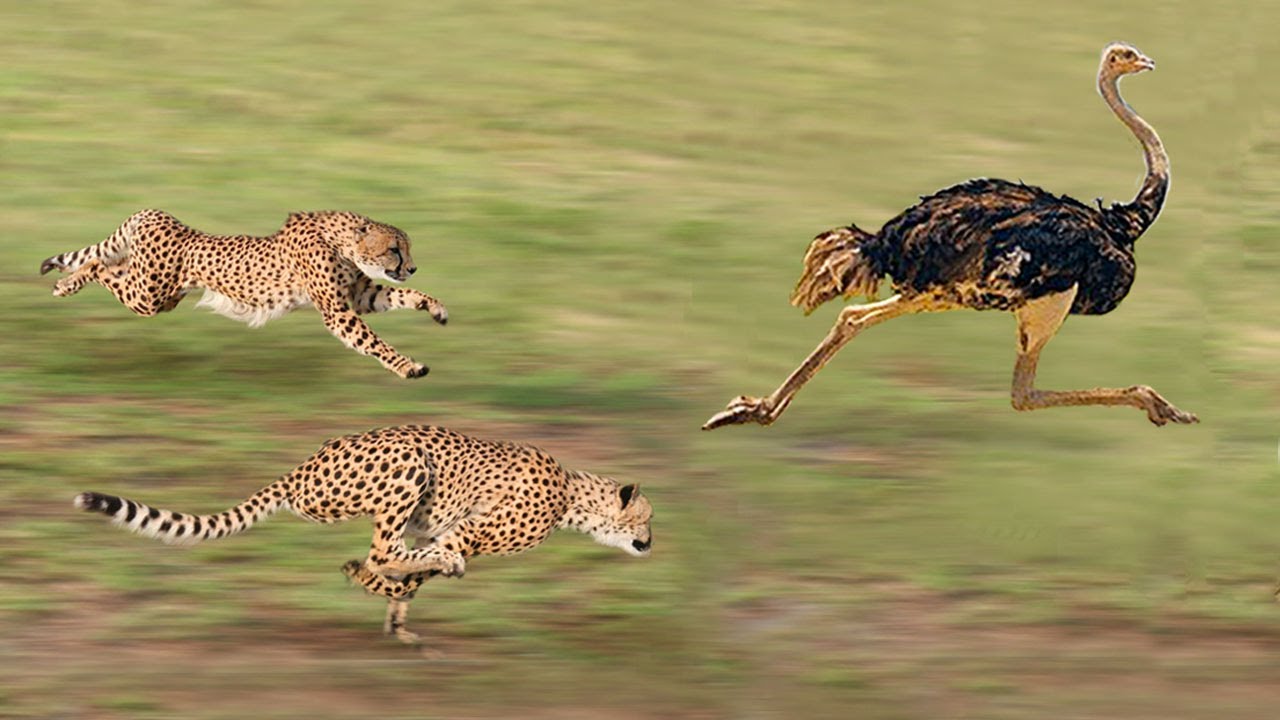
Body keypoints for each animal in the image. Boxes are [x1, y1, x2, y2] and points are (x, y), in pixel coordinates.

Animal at [41, 209, 448, 378]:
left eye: (405, 249)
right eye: (395, 249)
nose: (412, 267)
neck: (342, 239)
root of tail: (155, 213)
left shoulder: (359, 296)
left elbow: (403, 295)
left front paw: (435, 307)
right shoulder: (337, 311)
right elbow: (375, 342)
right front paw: (408, 367)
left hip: (156, 290)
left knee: (106, 264)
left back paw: (66, 280)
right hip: (148, 296)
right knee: (98, 265)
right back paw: (66, 283)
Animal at [73, 424, 654, 646]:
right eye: (646, 517)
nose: (651, 542)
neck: (574, 495)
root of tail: (303, 467)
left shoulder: (448, 532)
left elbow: (417, 572)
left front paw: (397, 619)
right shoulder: (467, 530)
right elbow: (422, 563)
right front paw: (390, 596)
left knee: (387, 553)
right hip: (409, 465)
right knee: (380, 550)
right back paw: (364, 570)